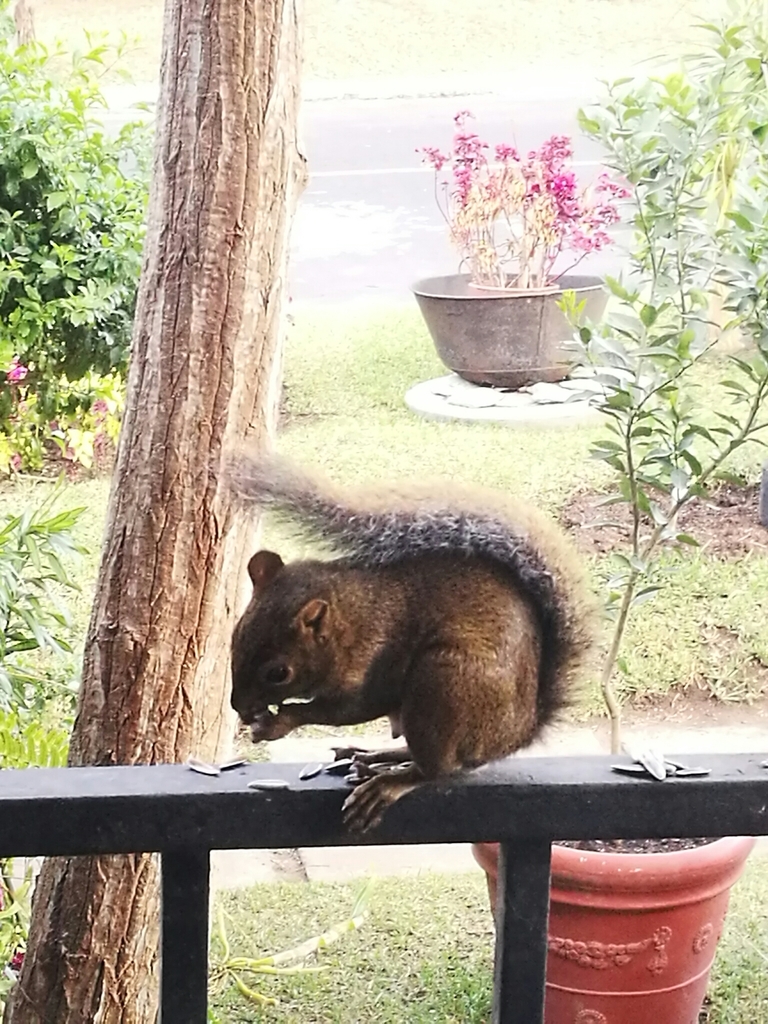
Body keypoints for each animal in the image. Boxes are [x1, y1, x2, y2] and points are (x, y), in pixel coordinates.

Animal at [228, 452, 594, 832]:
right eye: (235, 638)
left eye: (278, 673)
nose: (238, 706)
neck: (356, 617)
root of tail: (518, 733)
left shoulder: (377, 666)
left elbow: (348, 709)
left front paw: (277, 722)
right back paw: (375, 755)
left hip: (442, 682)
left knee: (436, 768)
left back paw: (390, 782)